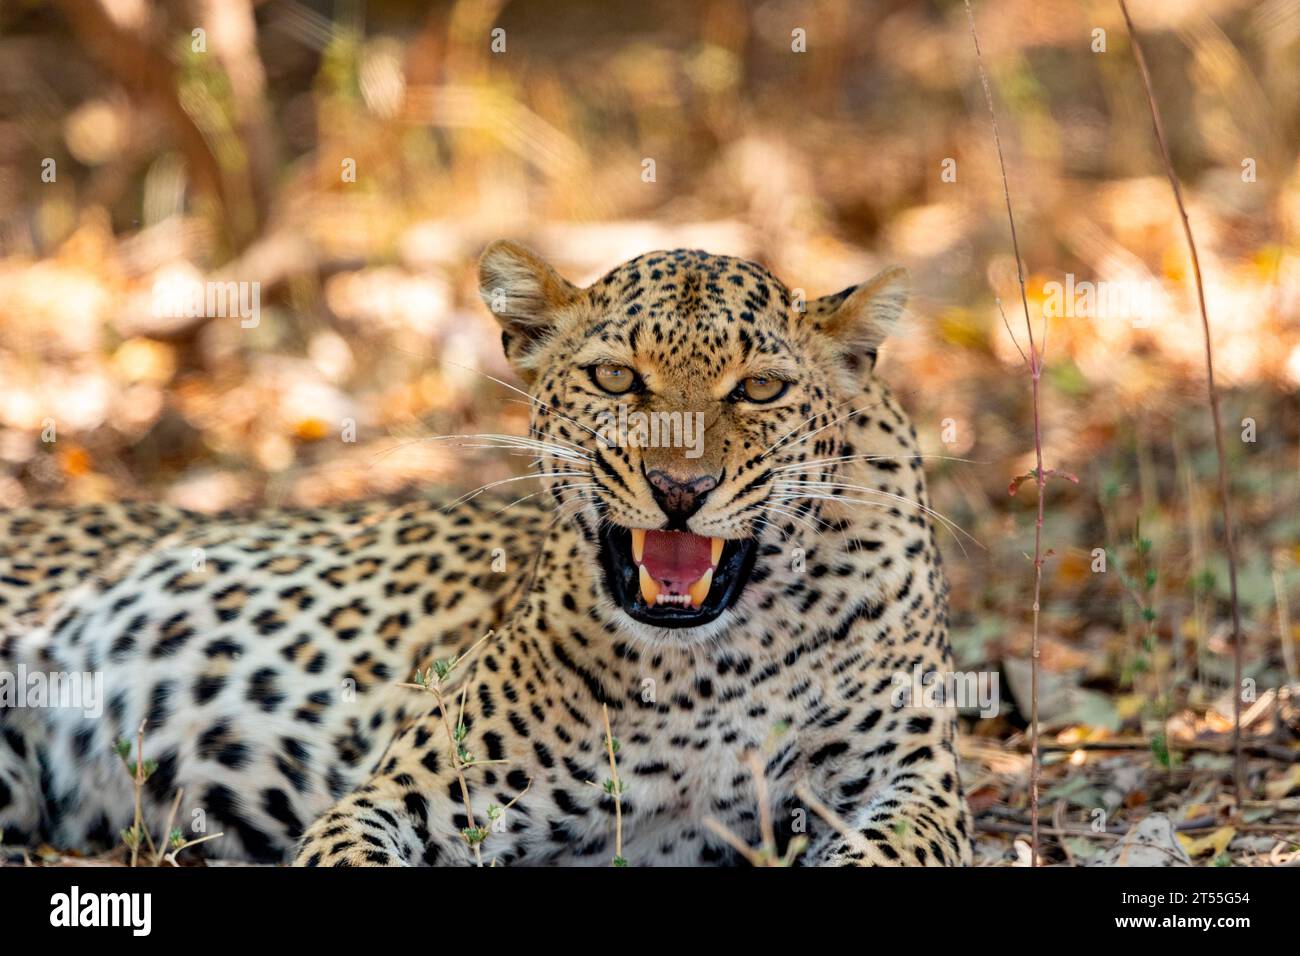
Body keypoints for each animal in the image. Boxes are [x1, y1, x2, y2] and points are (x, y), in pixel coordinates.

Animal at [0, 241, 972, 866]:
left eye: (761, 388)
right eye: (615, 377)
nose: (680, 487)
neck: (705, 666)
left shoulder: (911, 783)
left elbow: (888, 851)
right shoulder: (404, 798)